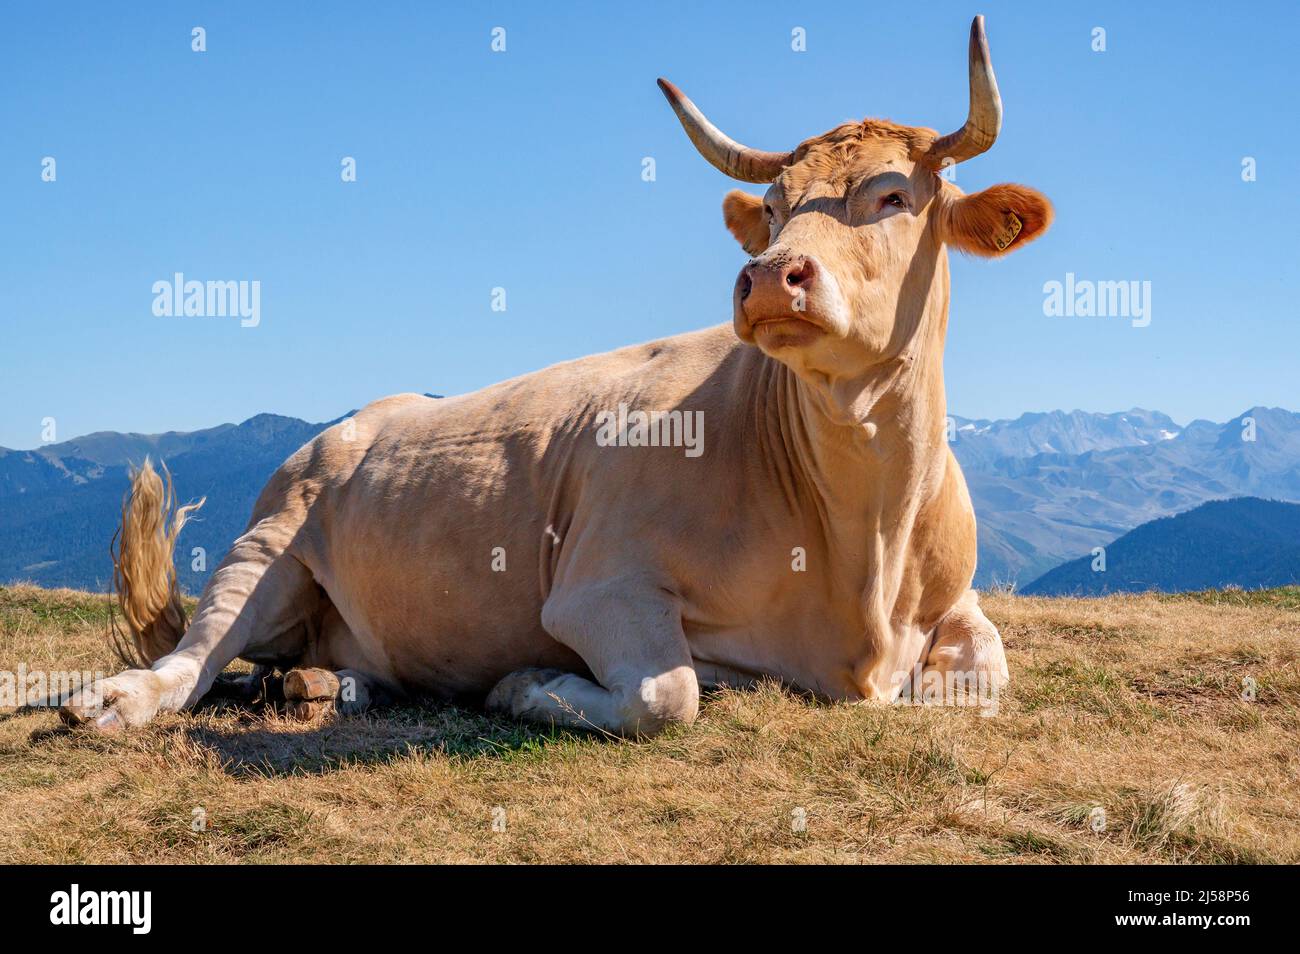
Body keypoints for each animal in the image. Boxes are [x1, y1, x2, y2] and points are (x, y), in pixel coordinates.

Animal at [62, 16, 1050, 736]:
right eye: (771, 210)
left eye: (893, 196)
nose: (770, 276)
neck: (862, 537)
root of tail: (345, 424)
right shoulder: (598, 585)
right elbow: (668, 695)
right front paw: (522, 685)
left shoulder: (956, 602)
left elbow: (983, 671)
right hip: (265, 543)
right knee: (195, 655)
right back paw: (115, 700)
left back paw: (323, 686)